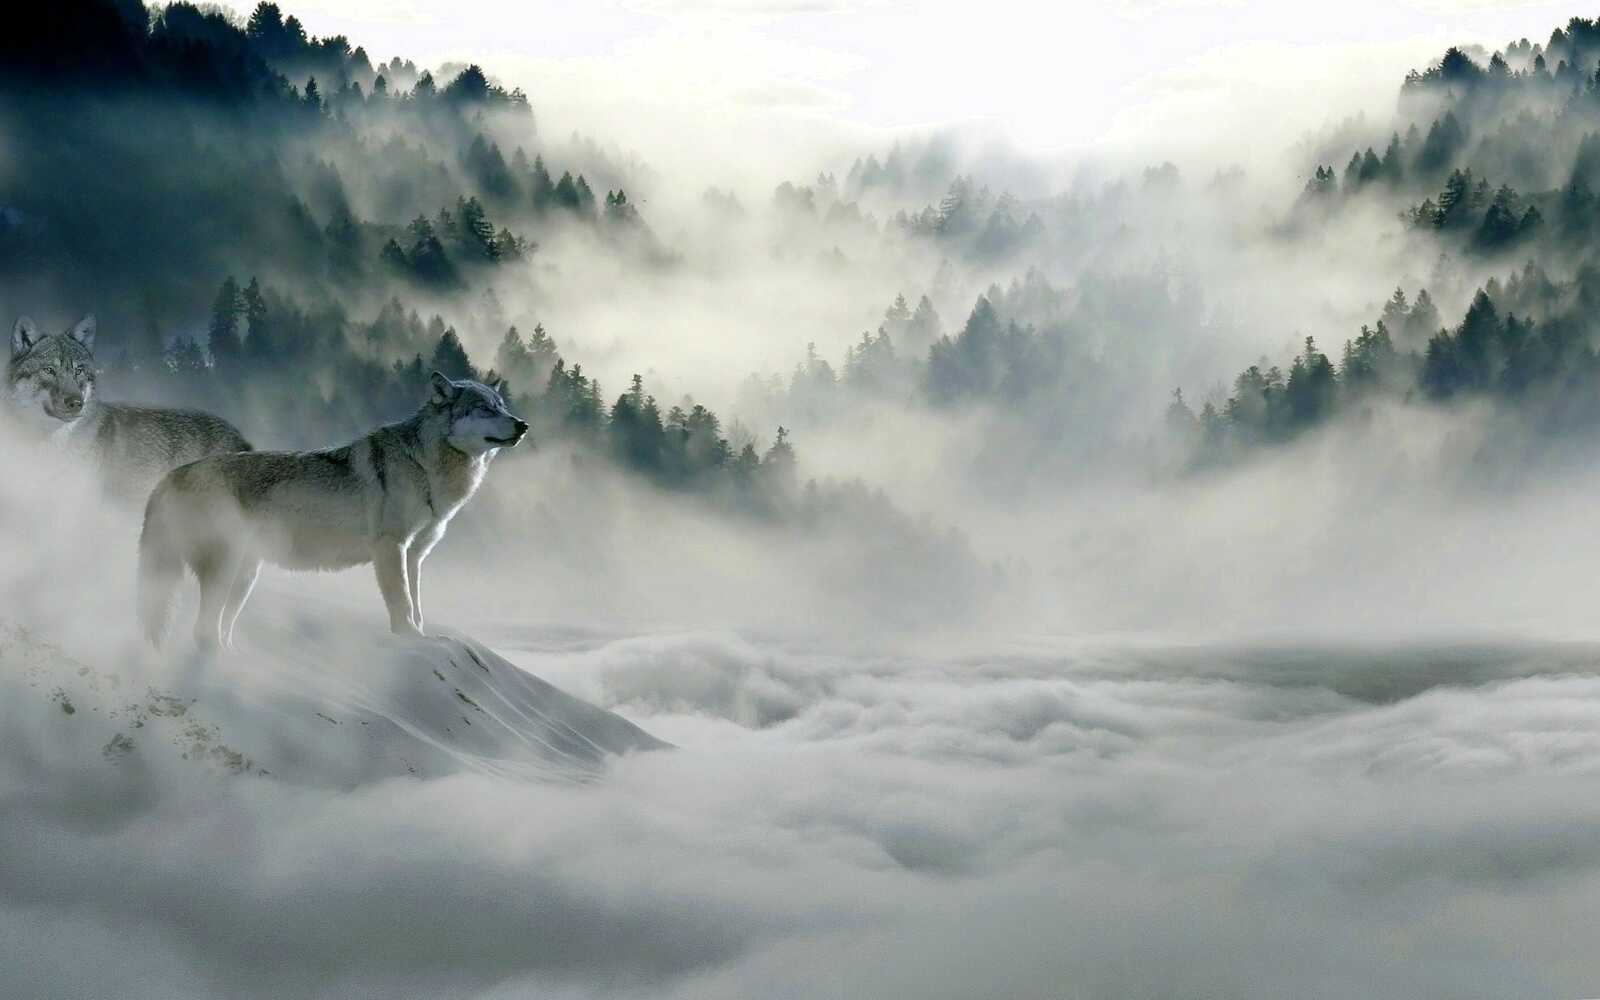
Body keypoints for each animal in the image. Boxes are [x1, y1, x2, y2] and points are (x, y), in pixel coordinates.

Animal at [139, 371, 527, 650]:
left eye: (502, 406)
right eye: (485, 408)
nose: (522, 424)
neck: (426, 466)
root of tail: (170, 476)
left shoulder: (415, 554)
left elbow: (417, 606)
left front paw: (425, 637)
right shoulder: (391, 547)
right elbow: (402, 604)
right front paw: (409, 639)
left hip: (245, 578)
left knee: (217, 628)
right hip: (227, 570)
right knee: (202, 631)